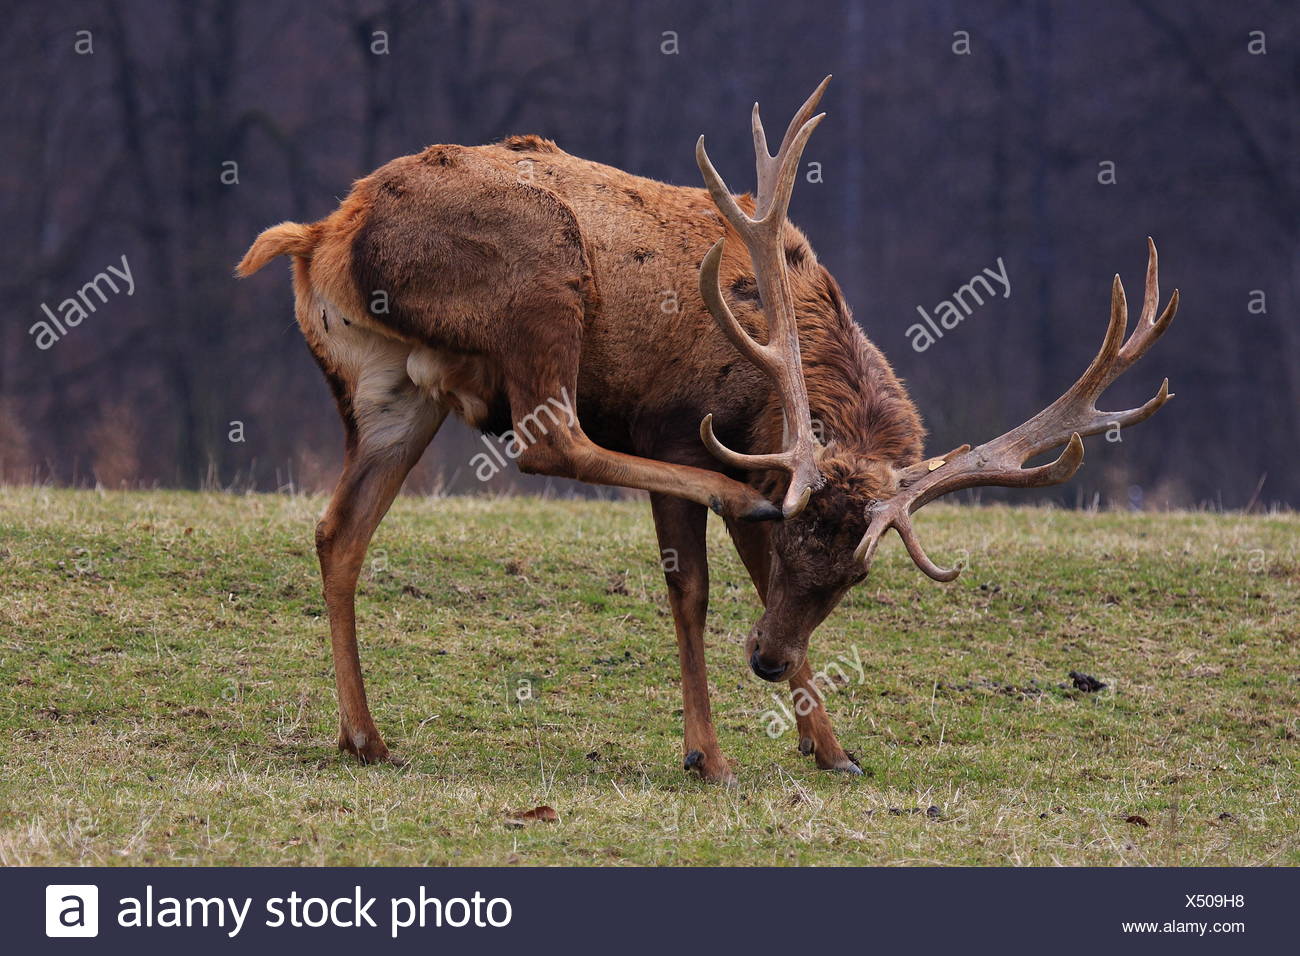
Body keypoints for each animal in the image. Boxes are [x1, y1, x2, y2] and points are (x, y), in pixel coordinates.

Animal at [236, 77, 1178, 783]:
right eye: (804, 537)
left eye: (856, 575)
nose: (764, 661)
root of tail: (324, 235)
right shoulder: (684, 429)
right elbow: (692, 590)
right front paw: (709, 755)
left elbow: (758, 590)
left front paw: (833, 749)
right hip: (544, 279)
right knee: (551, 439)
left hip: (392, 389)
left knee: (340, 530)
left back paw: (366, 736)